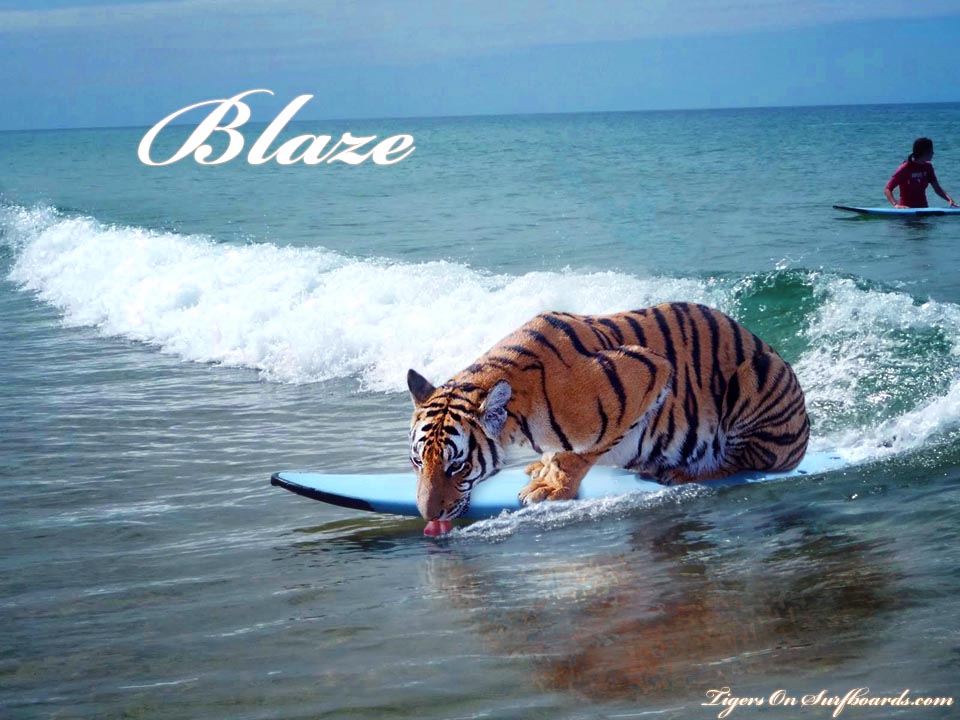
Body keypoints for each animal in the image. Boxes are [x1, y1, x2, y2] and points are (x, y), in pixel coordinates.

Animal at [407, 302, 809, 522]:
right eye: (417, 462)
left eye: (457, 466)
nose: (429, 516)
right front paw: (542, 467)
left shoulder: (649, 372)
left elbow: (580, 454)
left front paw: (551, 486)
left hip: (757, 373)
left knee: (744, 461)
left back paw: (682, 472)